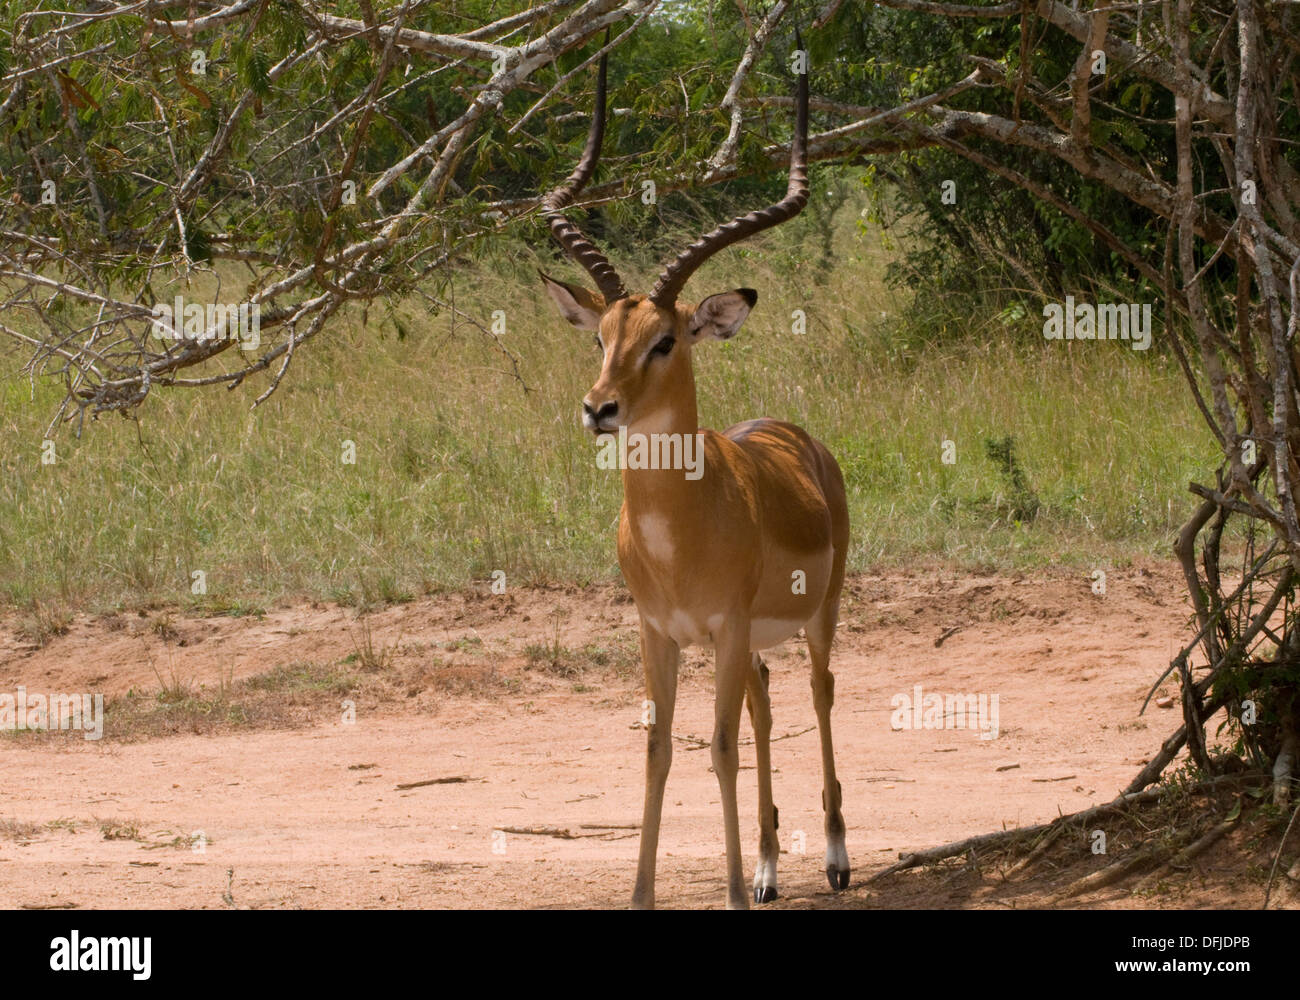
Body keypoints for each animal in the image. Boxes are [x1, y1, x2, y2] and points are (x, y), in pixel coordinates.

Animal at [538, 40, 849, 910]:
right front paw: (646, 896)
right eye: (601, 335)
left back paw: (836, 858)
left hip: (817, 615)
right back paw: (774, 867)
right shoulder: (659, 632)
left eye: (666, 340)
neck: (678, 532)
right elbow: (662, 750)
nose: (599, 408)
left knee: (819, 693)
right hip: (754, 645)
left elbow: (718, 749)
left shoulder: (727, 627)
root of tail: (798, 437)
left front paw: (735, 894)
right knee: (768, 706)